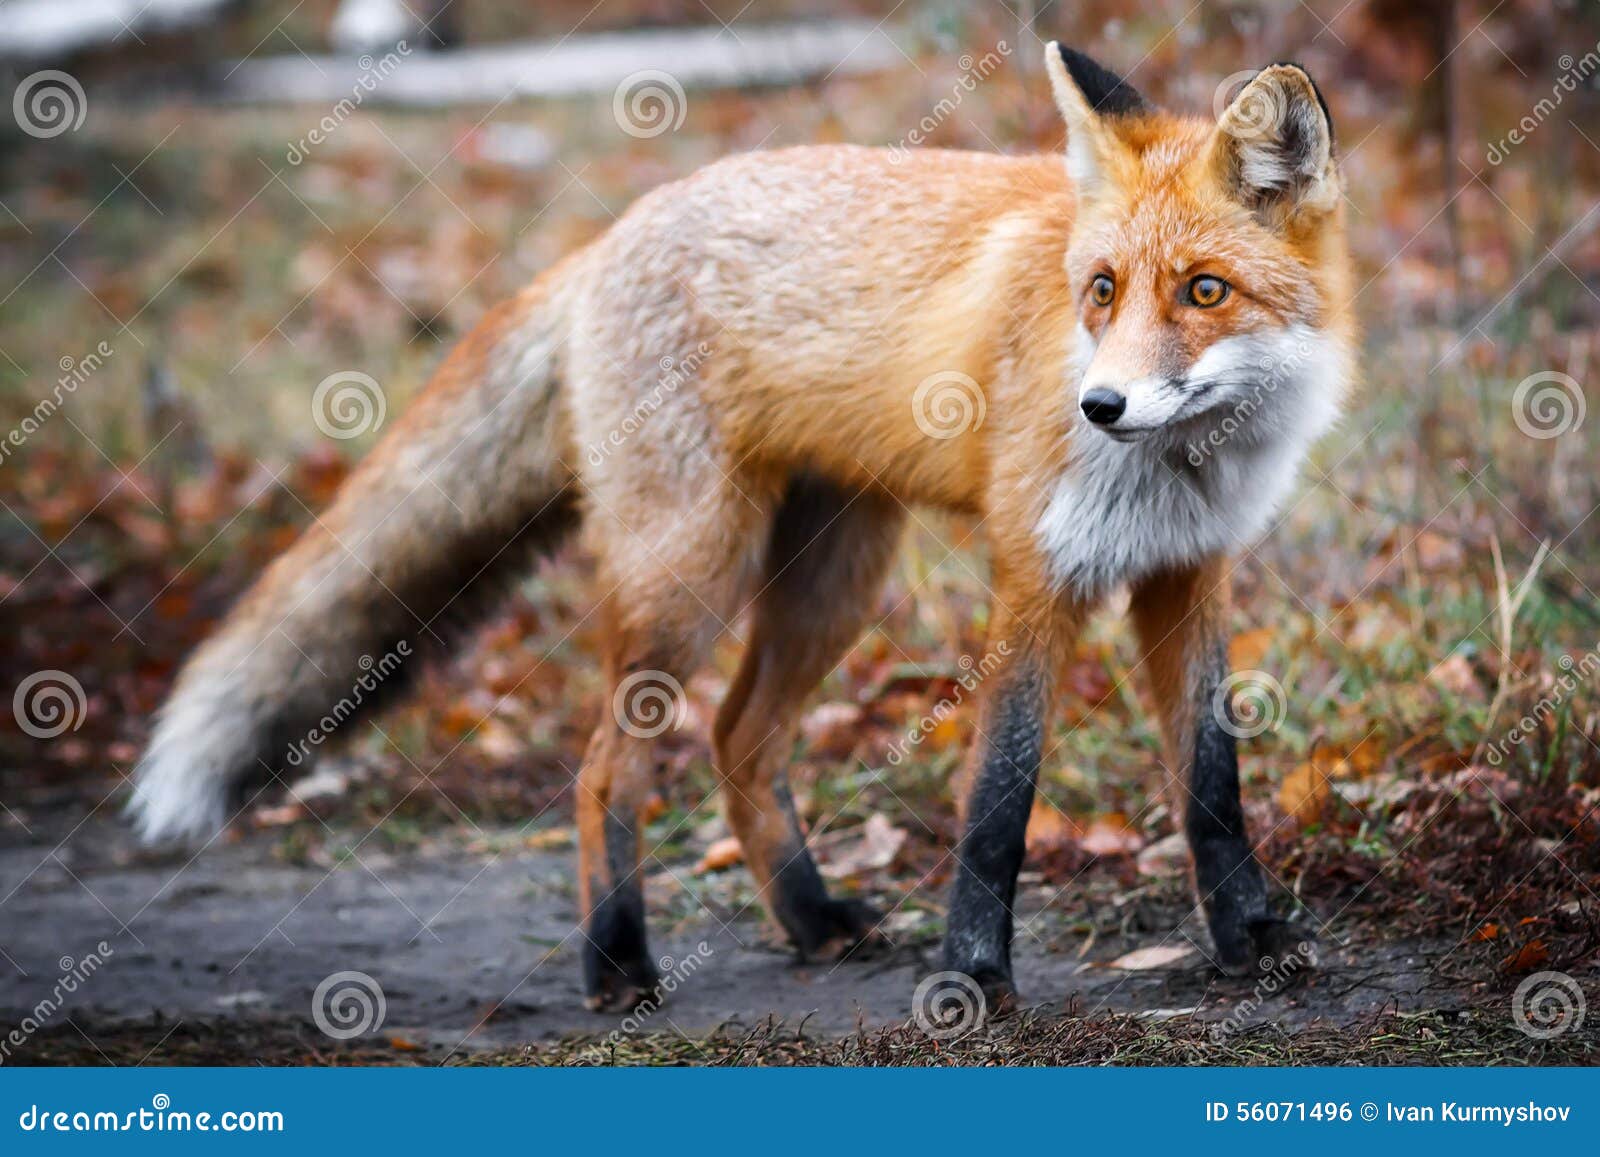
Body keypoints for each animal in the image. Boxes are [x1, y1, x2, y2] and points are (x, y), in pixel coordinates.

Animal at [130, 43, 1355, 1013]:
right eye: (1100, 289)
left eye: (1203, 291)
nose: (1099, 407)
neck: (1180, 472)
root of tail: (610, 234)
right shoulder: (1033, 578)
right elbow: (997, 802)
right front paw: (972, 976)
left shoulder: (1190, 573)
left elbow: (1211, 786)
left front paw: (1250, 939)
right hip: (690, 575)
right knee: (606, 769)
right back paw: (617, 963)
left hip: (834, 578)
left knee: (738, 737)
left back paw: (807, 919)